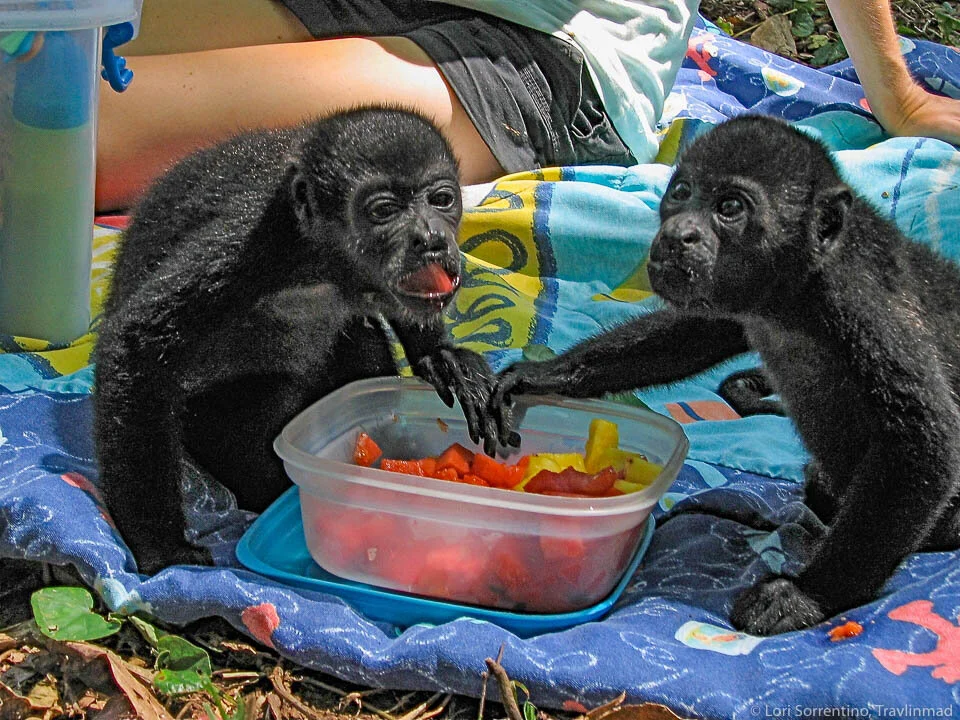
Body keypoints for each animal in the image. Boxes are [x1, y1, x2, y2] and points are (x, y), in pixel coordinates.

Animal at [94, 107, 501, 574]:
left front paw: (443, 359)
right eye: (383, 210)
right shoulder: (245, 244)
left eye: (442, 200)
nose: (432, 239)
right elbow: (135, 343)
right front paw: (161, 546)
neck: (323, 261)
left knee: (361, 342)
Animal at [488, 115, 960, 635]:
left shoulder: (865, 303)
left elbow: (922, 444)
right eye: (681, 192)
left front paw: (807, 595)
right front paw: (543, 374)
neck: (796, 289)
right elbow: (695, 334)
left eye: (730, 207)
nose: (677, 234)